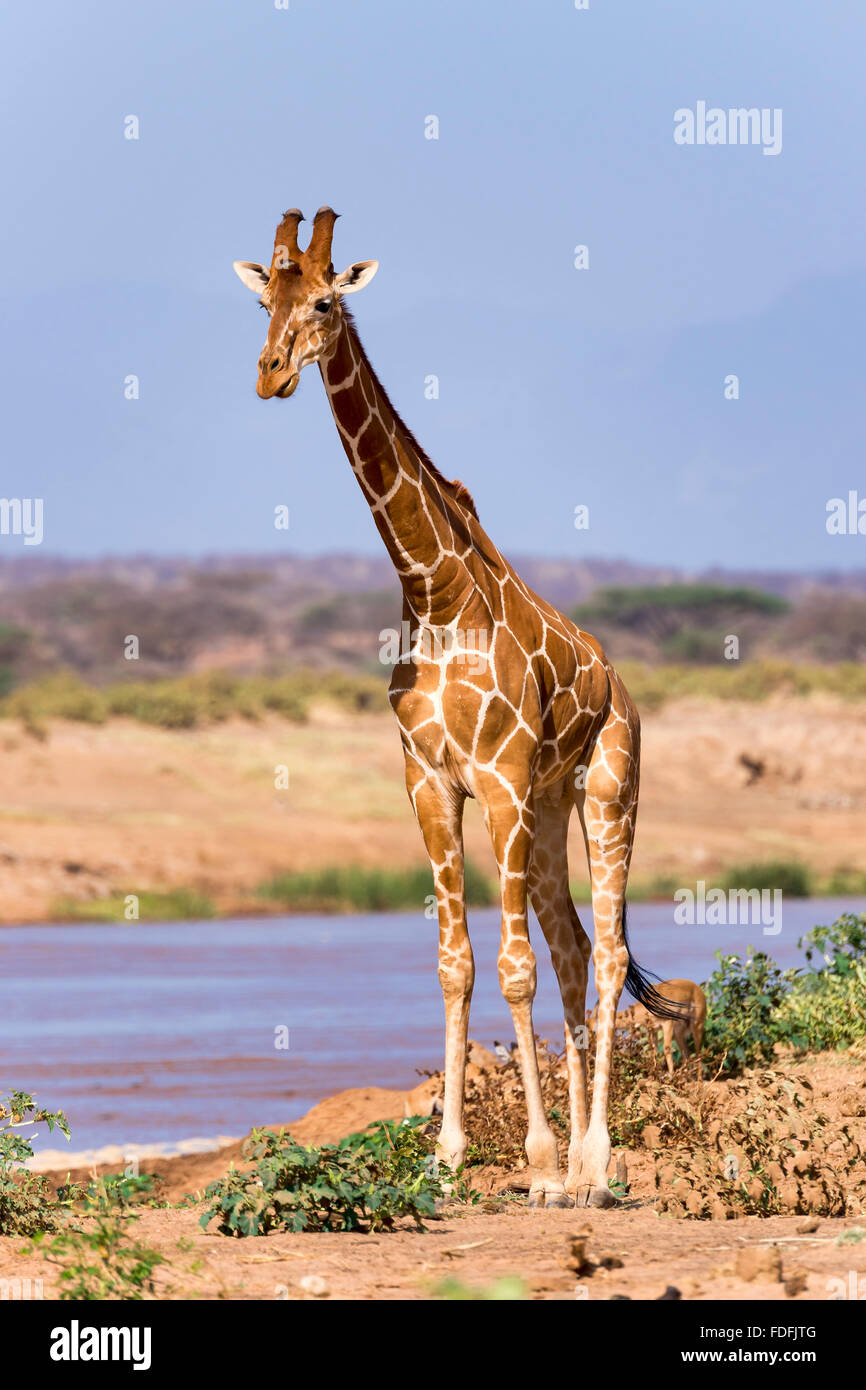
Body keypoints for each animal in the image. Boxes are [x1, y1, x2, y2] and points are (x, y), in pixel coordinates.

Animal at [233, 206, 680, 1208]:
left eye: (324, 303)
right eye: (262, 300)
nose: (271, 373)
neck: (433, 592)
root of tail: (624, 687)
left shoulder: (500, 779)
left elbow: (511, 971)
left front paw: (540, 1163)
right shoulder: (431, 782)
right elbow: (458, 964)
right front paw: (448, 1157)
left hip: (607, 790)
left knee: (602, 957)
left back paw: (597, 1166)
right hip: (549, 814)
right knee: (571, 948)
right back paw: (582, 1160)